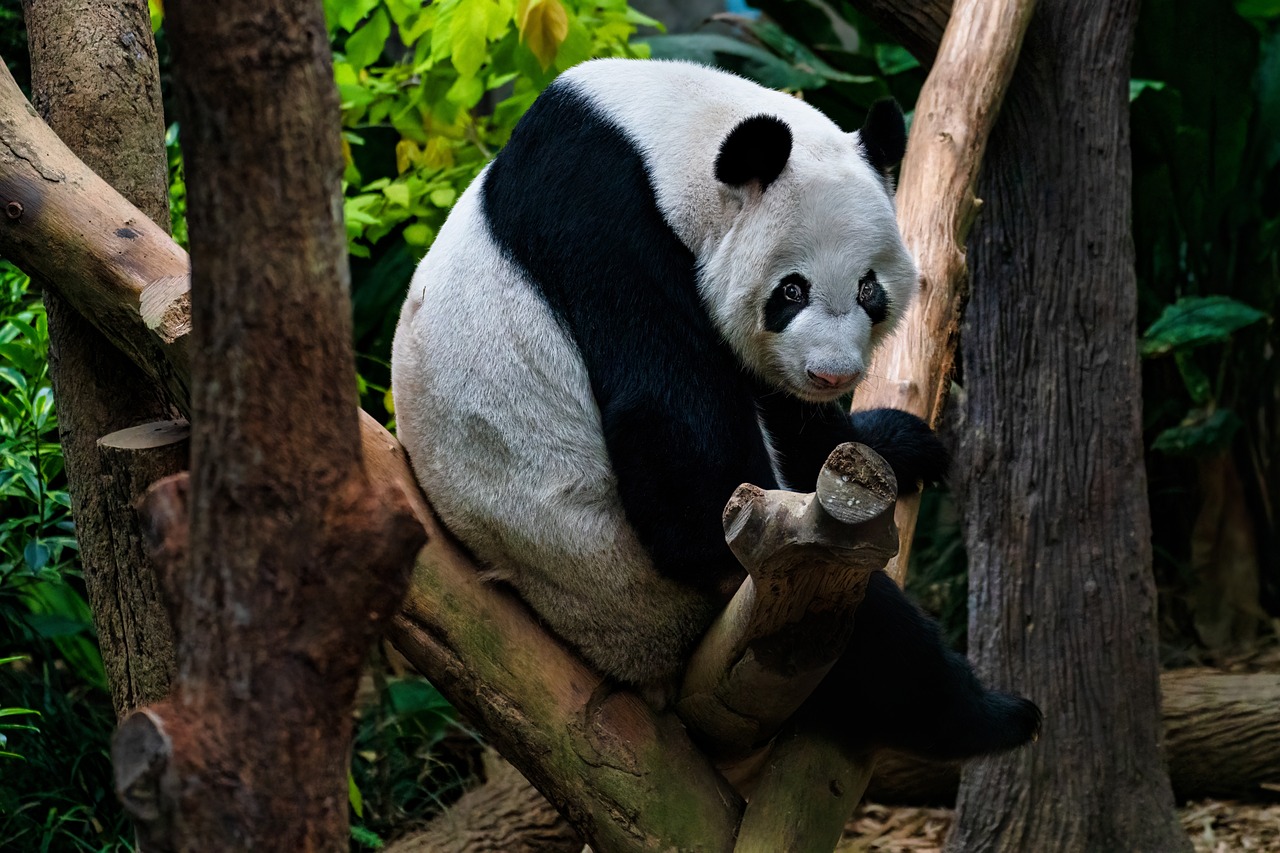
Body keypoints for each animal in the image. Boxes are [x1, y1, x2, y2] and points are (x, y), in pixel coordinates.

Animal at [392, 58, 1040, 761]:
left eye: (870, 289)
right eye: (791, 290)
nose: (831, 374)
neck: (663, 134)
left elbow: (776, 405)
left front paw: (890, 441)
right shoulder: (600, 220)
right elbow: (686, 459)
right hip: (653, 592)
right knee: (865, 636)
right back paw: (990, 716)